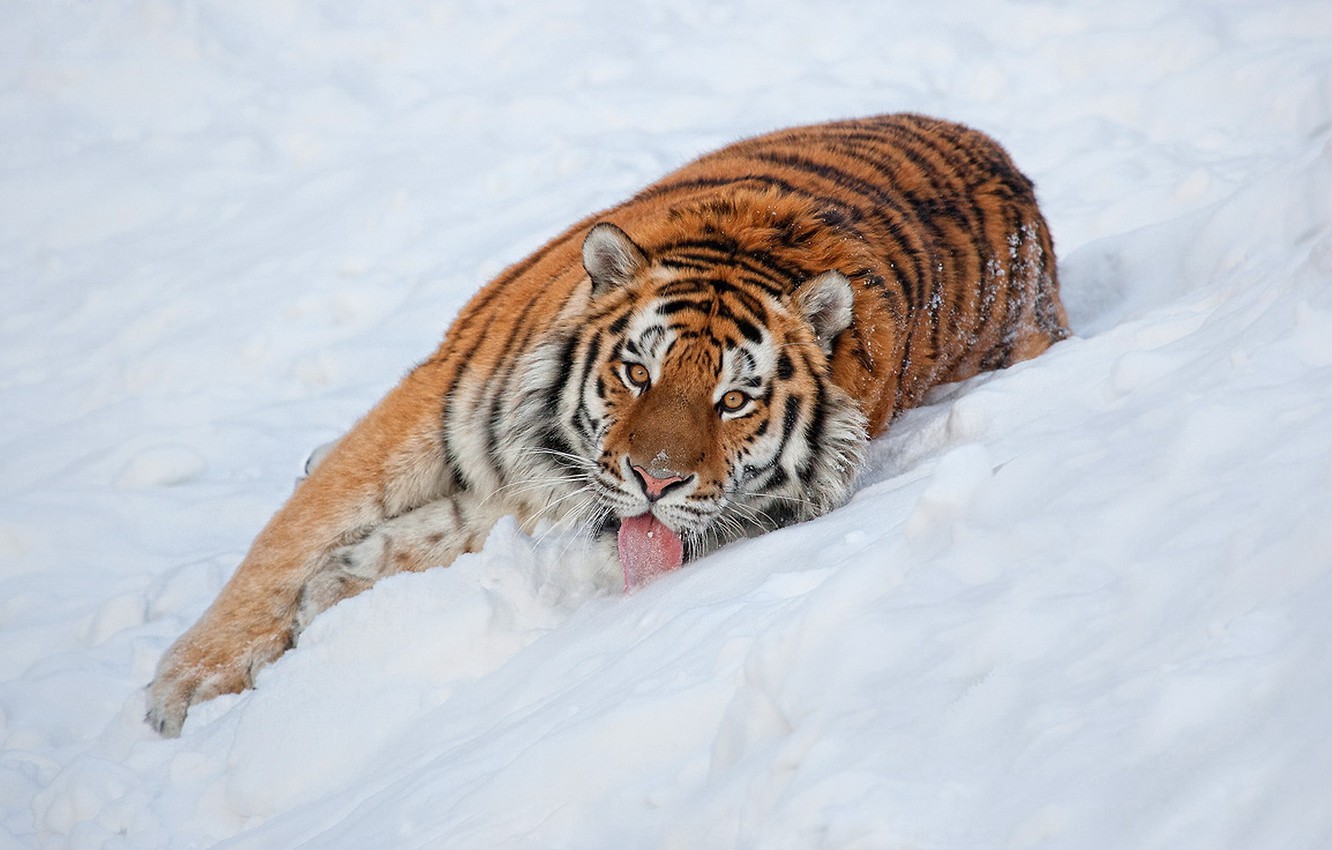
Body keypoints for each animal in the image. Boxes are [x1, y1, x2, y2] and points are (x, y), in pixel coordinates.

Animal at [147, 113, 1068, 736]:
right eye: (636, 373)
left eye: (735, 401)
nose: (656, 480)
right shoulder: (434, 406)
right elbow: (288, 539)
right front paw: (185, 688)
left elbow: (422, 533)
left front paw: (337, 585)